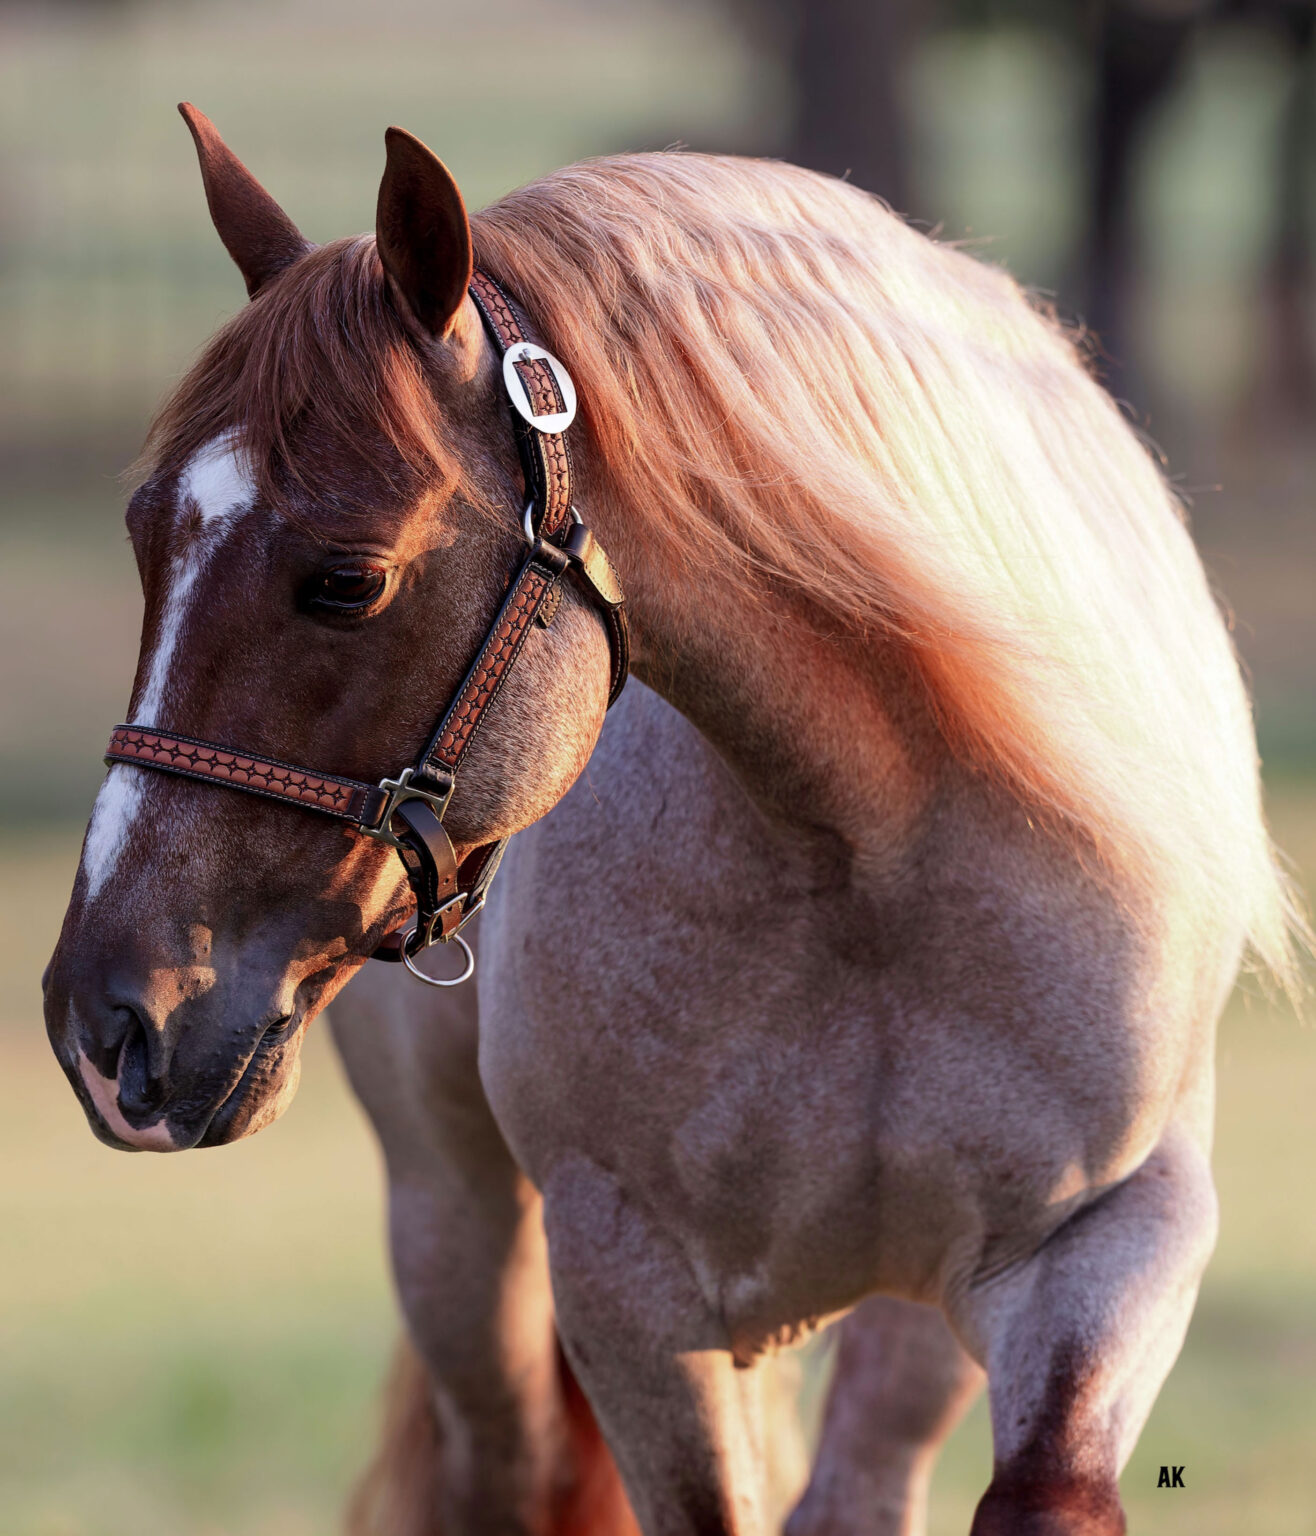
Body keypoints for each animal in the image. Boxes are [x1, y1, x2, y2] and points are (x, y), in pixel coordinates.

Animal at [43, 103, 1302, 1536]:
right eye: (145, 535)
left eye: (346, 581)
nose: (106, 1022)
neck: (880, 848)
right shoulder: (630, 1287)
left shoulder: (1108, 1244)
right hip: (452, 1220)